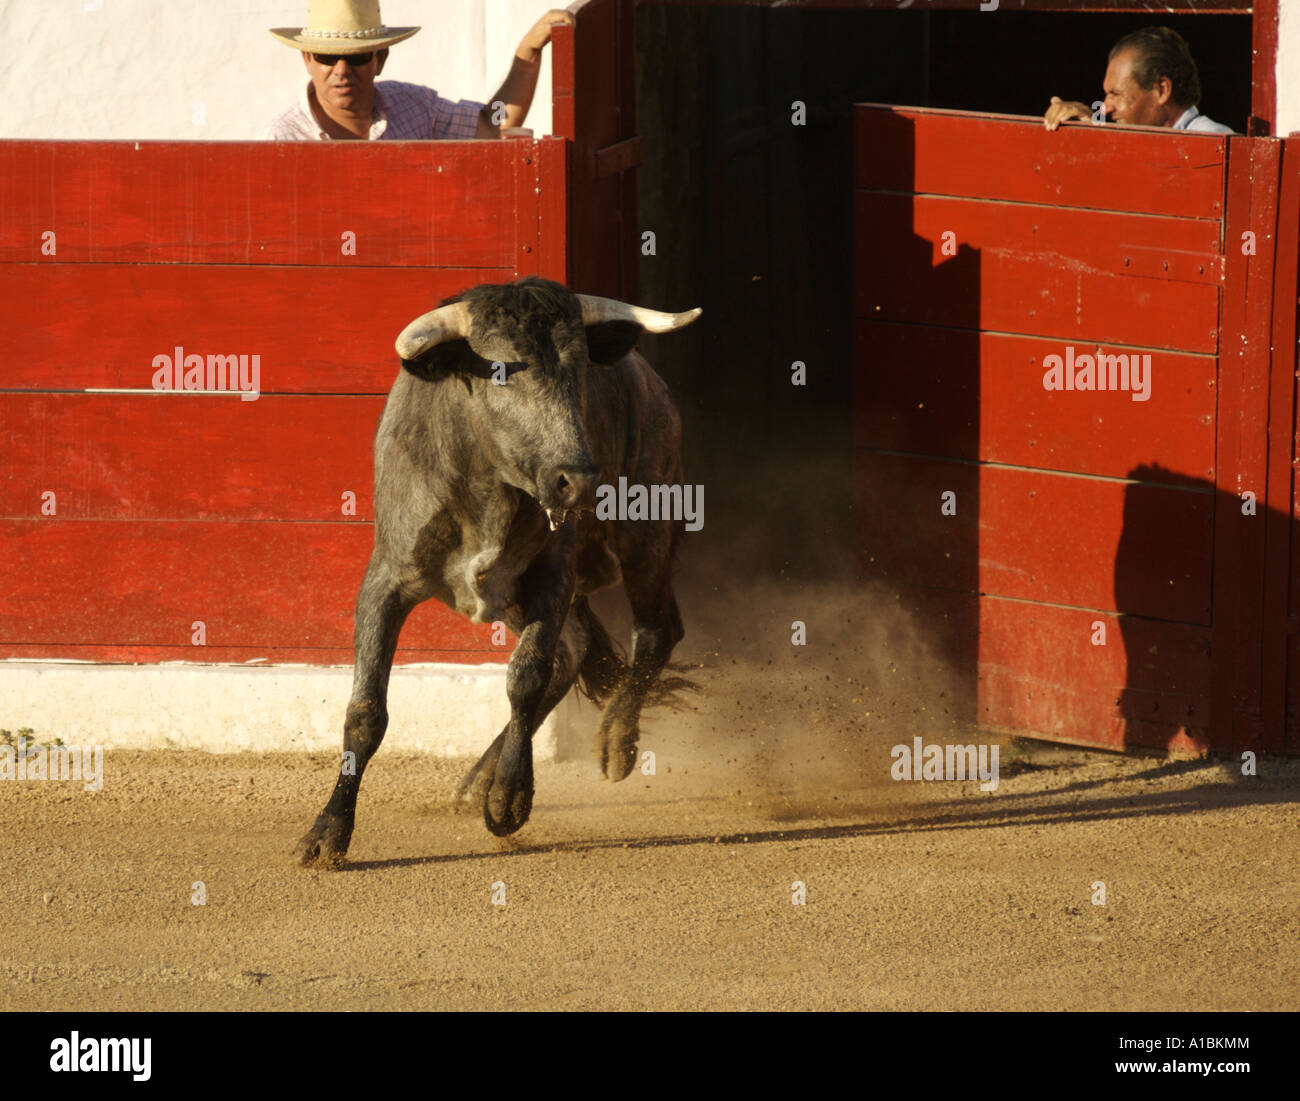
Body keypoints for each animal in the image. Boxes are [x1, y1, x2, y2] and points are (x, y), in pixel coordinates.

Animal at [294, 276, 701, 868]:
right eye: (503, 369)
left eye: (579, 368)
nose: (578, 481)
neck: (485, 482)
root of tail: (652, 381)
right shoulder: (385, 580)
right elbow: (365, 709)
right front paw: (328, 832)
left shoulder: (554, 572)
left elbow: (525, 675)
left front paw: (509, 800)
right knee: (574, 648)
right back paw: (477, 782)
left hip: (646, 523)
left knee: (655, 628)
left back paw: (613, 743)